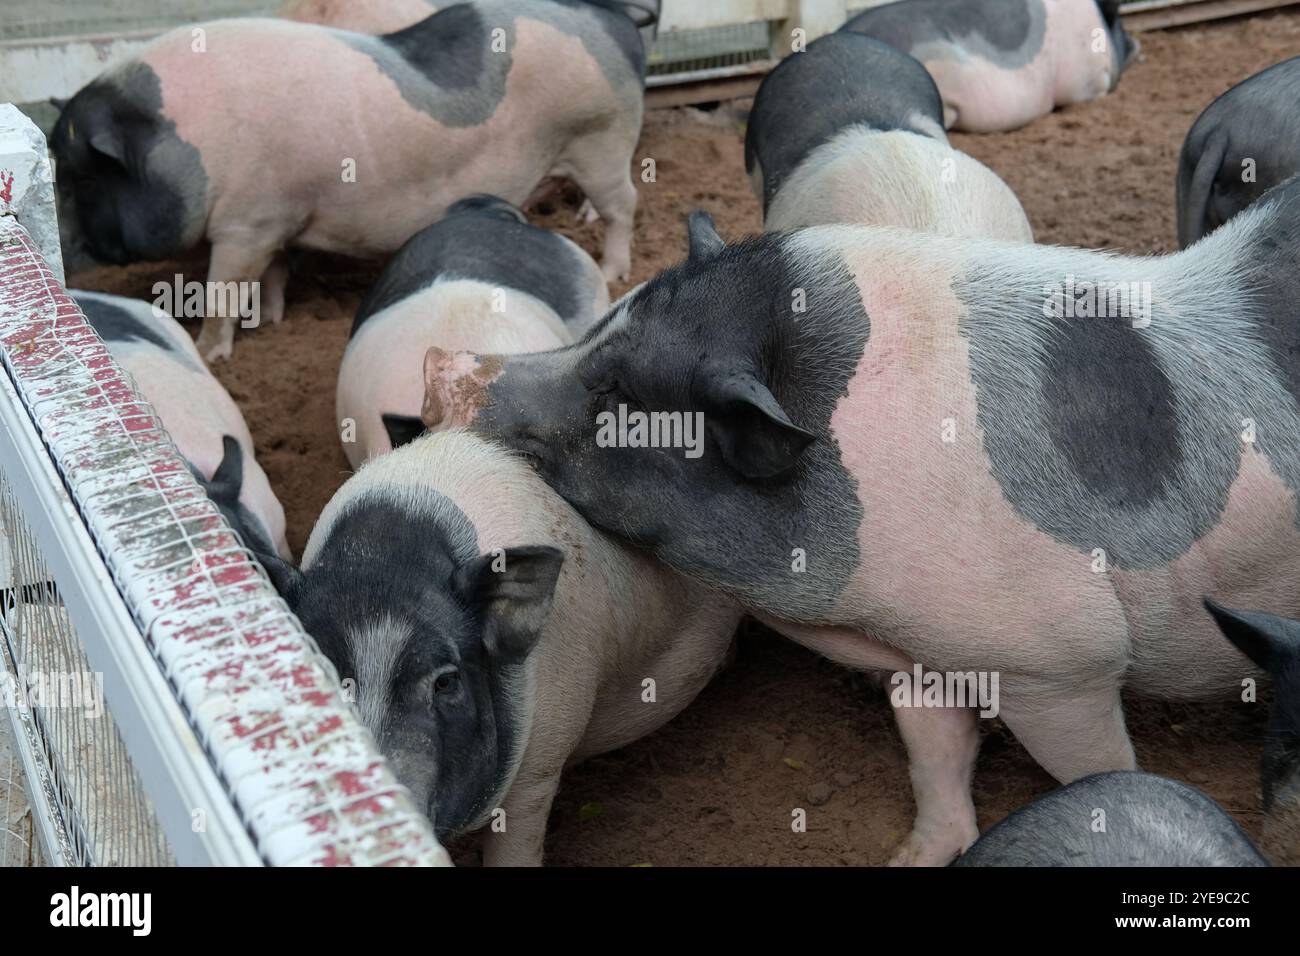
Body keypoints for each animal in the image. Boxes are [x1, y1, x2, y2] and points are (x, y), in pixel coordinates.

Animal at [49, 0, 644, 361]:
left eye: (83, 181)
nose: (72, 246)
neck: (188, 146)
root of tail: (609, 18)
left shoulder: (246, 223)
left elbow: (220, 294)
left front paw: (211, 352)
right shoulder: (276, 219)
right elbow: (275, 274)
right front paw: (273, 323)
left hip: (602, 139)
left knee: (625, 205)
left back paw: (615, 270)